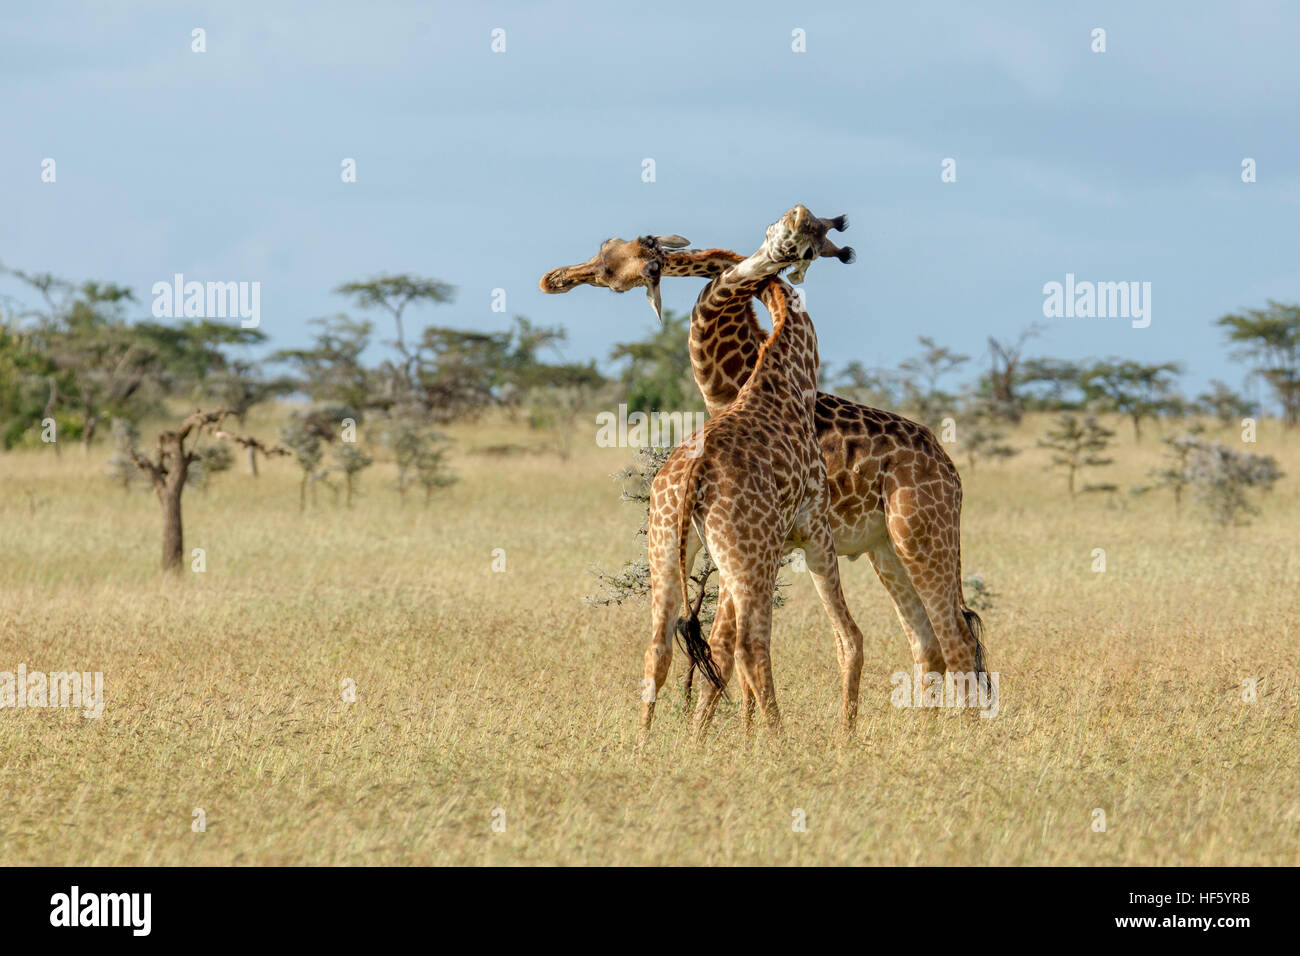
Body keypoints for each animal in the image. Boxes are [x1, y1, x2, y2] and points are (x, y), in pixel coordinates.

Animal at [542, 232, 988, 696]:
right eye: (604, 247)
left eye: (609, 272)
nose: (556, 278)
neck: (734, 381)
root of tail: (950, 469)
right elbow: (724, 649)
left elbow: (725, 647)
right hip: (883, 549)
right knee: (927, 645)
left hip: (921, 537)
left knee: (957, 641)